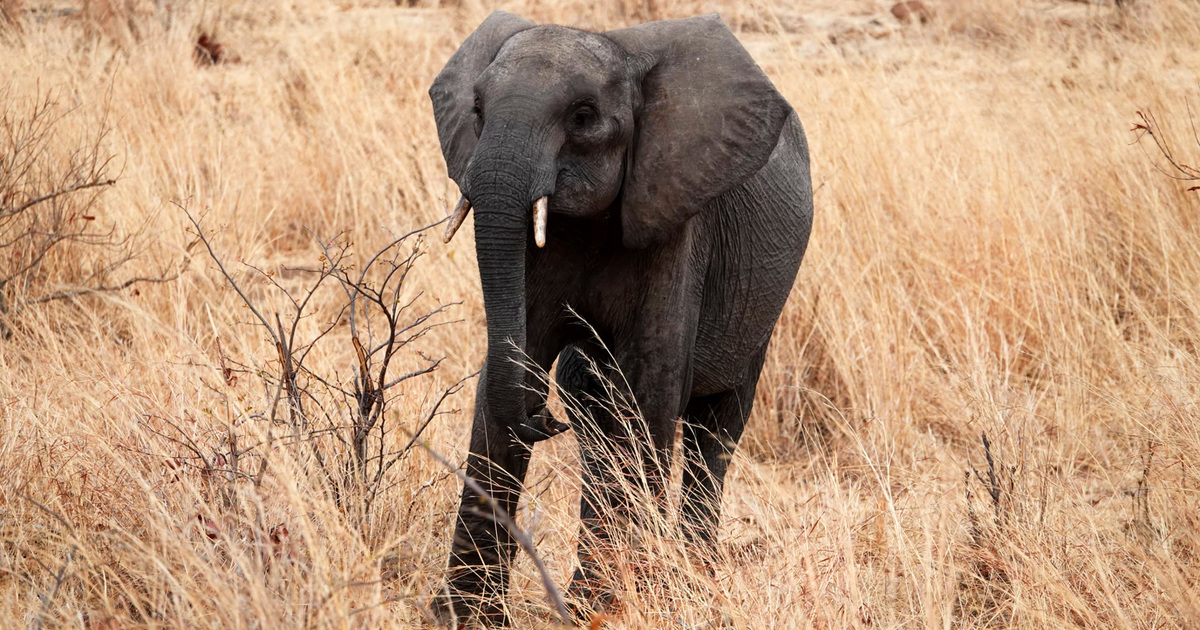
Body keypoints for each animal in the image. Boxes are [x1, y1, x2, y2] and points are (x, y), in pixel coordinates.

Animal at [427, 10, 813, 625]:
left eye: (583, 118)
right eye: (479, 110)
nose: (543, 419)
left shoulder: (676, 226)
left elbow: (649, 387)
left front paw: (619, 606)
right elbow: (508, 374)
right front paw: (463, 618)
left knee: (714, 432)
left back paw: (684, 584)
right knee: (593, 415)